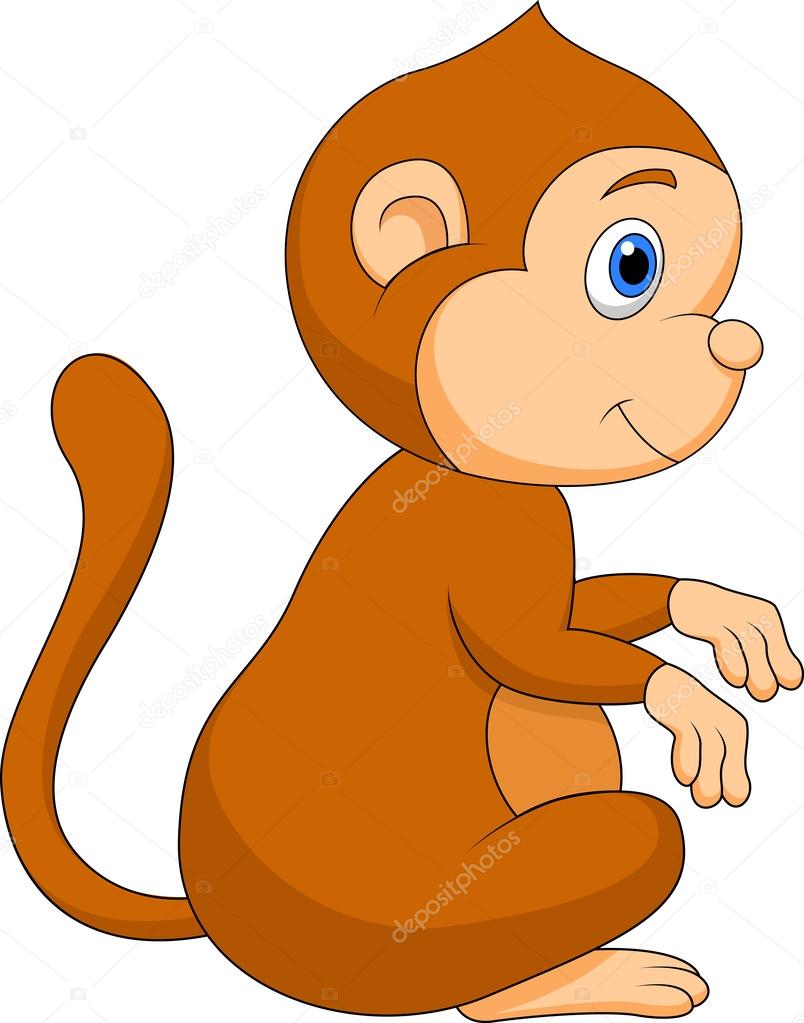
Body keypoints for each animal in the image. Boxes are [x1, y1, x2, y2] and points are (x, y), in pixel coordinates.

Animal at [2, 3, 801, 1019]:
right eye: (633, 265)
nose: (741, 345)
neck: (461, 462)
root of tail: (211, 908)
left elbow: (569, 619)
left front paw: (721, 614)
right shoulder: (492, 530)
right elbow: (528, 648)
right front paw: (689, 700)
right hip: (429, 919)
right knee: (584, 888)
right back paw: (591, 975)